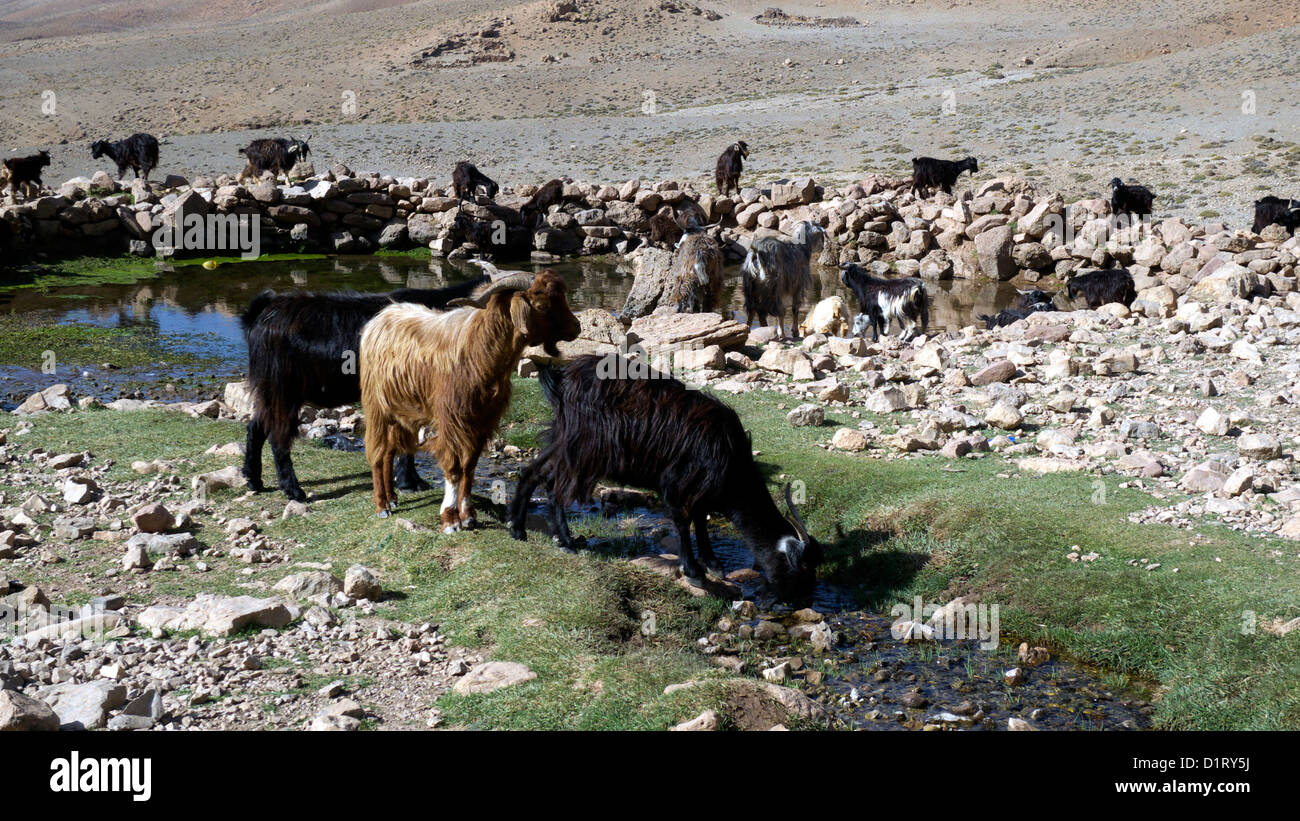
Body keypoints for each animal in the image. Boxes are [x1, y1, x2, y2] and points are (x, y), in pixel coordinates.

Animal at [239, 274, 489, 502]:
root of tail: (263, 312)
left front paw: (411, 481)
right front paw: (409, 482)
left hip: (270, 393)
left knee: (256, 428)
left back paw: (254, 480)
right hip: (282, 392)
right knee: (277, 437)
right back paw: (293, 490)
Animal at [361, 271, 580, 531]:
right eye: (542, 305)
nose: (576, 327)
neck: (480, 352)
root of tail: (381, 317)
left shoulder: (482, 421)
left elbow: (469, 467)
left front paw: (468, 516)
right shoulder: (451, 421)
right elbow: (454, 468)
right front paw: (450, 519)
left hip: (400, 410)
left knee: (389, 451)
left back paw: (392, 498)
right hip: (376, 406)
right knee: (377, 452)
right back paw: (382, 505)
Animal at [508, 354, 823, 600]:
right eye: (802, 569)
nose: (801, 601)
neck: (730, 458)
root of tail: (563, 378)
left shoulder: (700, 487)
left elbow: (700, 519)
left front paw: (712, 562)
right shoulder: (679, 481)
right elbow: (684, 521)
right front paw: (695, 571)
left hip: (564, 439)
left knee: (535, 473)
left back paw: (521, 529)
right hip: (585, 447)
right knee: (555, 484)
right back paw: (564, 539)